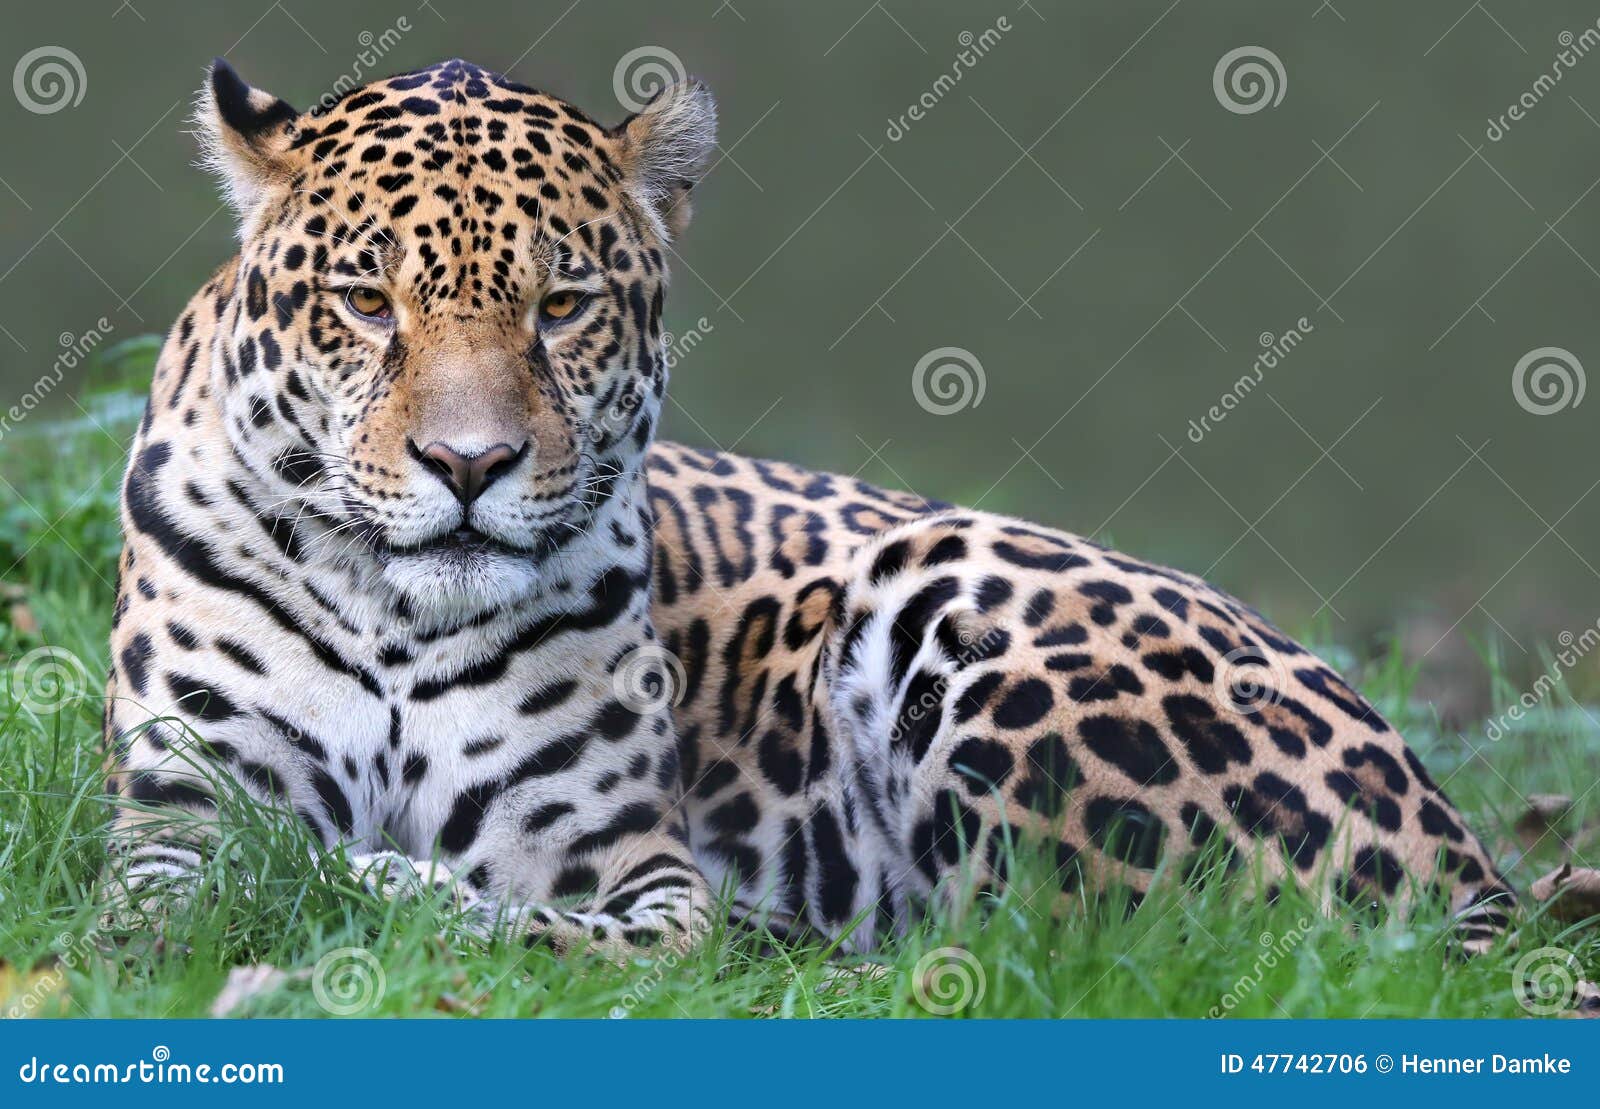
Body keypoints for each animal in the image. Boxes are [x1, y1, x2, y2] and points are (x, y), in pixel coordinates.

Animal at [102, 57, 1570, 985]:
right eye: (365, 302)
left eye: (562, 307)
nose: (472, 464)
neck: (404, 615)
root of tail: (1475, 864)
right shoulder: (172, 811)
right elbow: (197, 887)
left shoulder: (626, 861)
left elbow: (561, 926)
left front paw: (373, 885)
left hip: (949, 593)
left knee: (1095, 944)